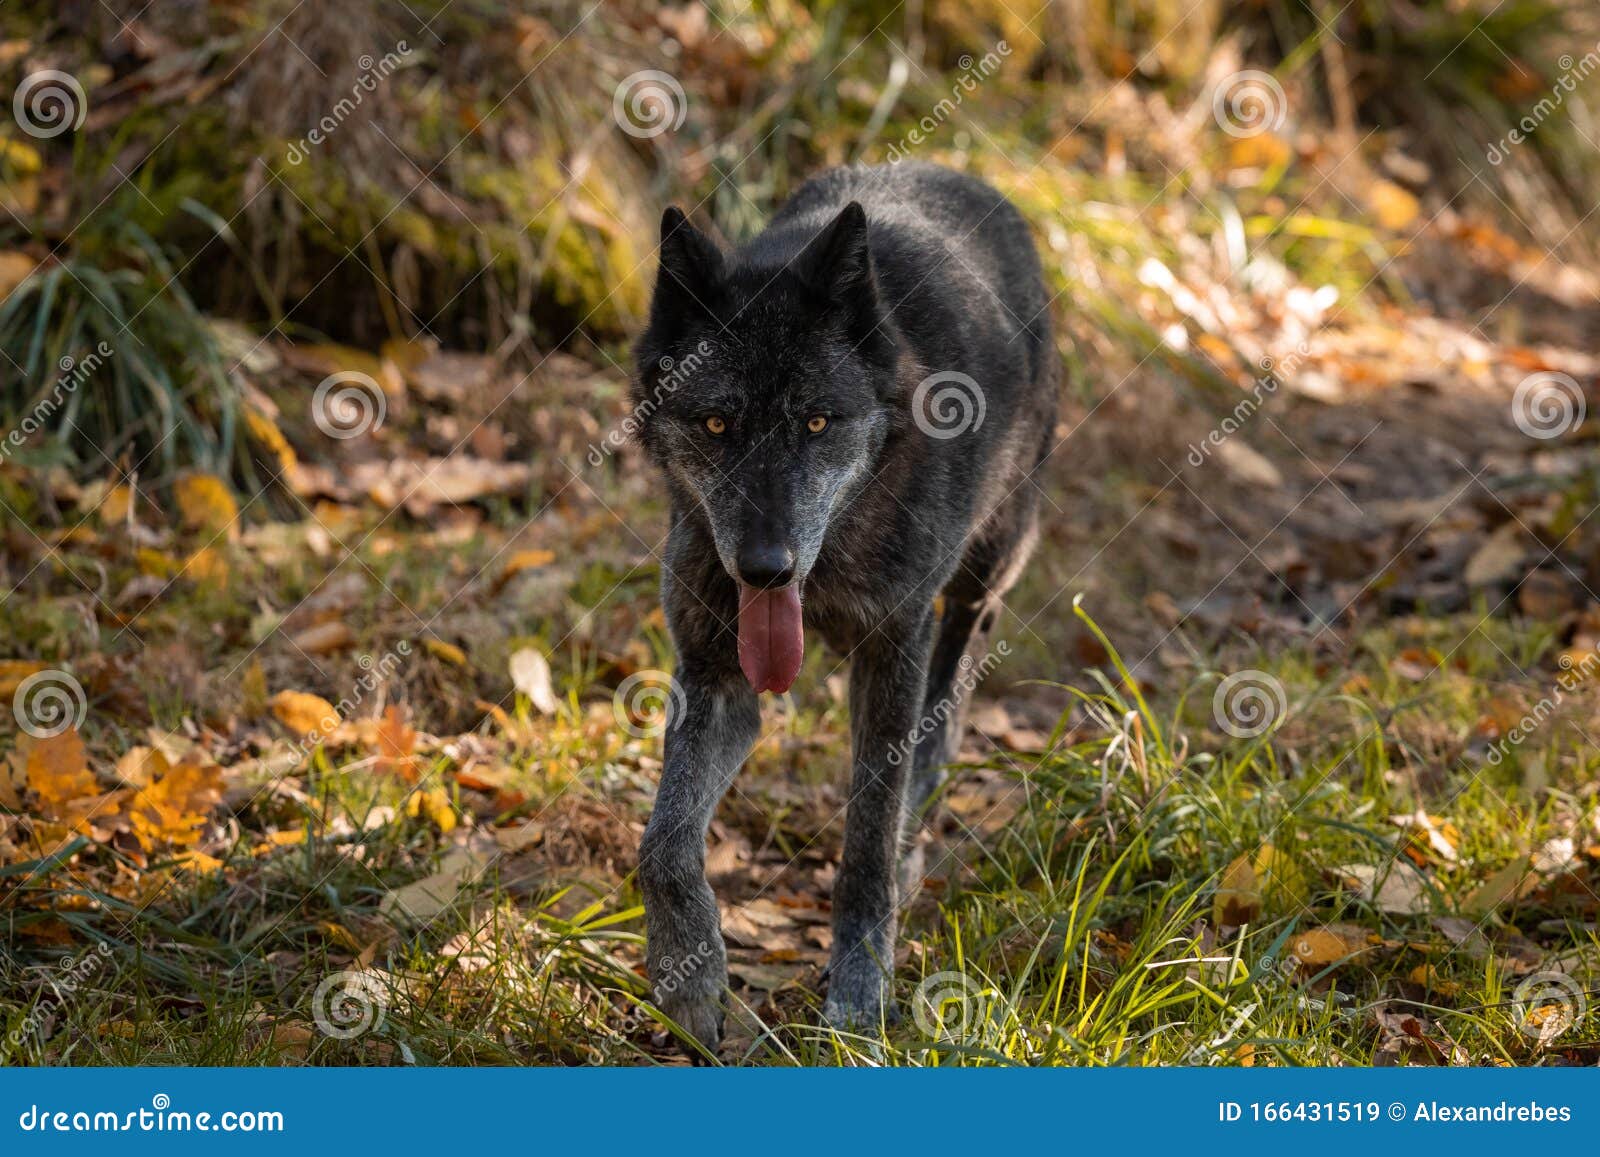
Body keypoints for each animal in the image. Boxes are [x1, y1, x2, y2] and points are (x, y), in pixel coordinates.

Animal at [630, 161, 1057, 1053]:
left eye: (818, 421)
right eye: (716, 423)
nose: (765, 569)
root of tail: (963, 176)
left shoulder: (893, 649)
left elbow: (865, 840)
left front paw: (860, 995)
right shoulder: (716, 679)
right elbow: (664, 843)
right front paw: (690, 979)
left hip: (981, 578)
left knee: (948, 707)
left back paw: (913, 843)